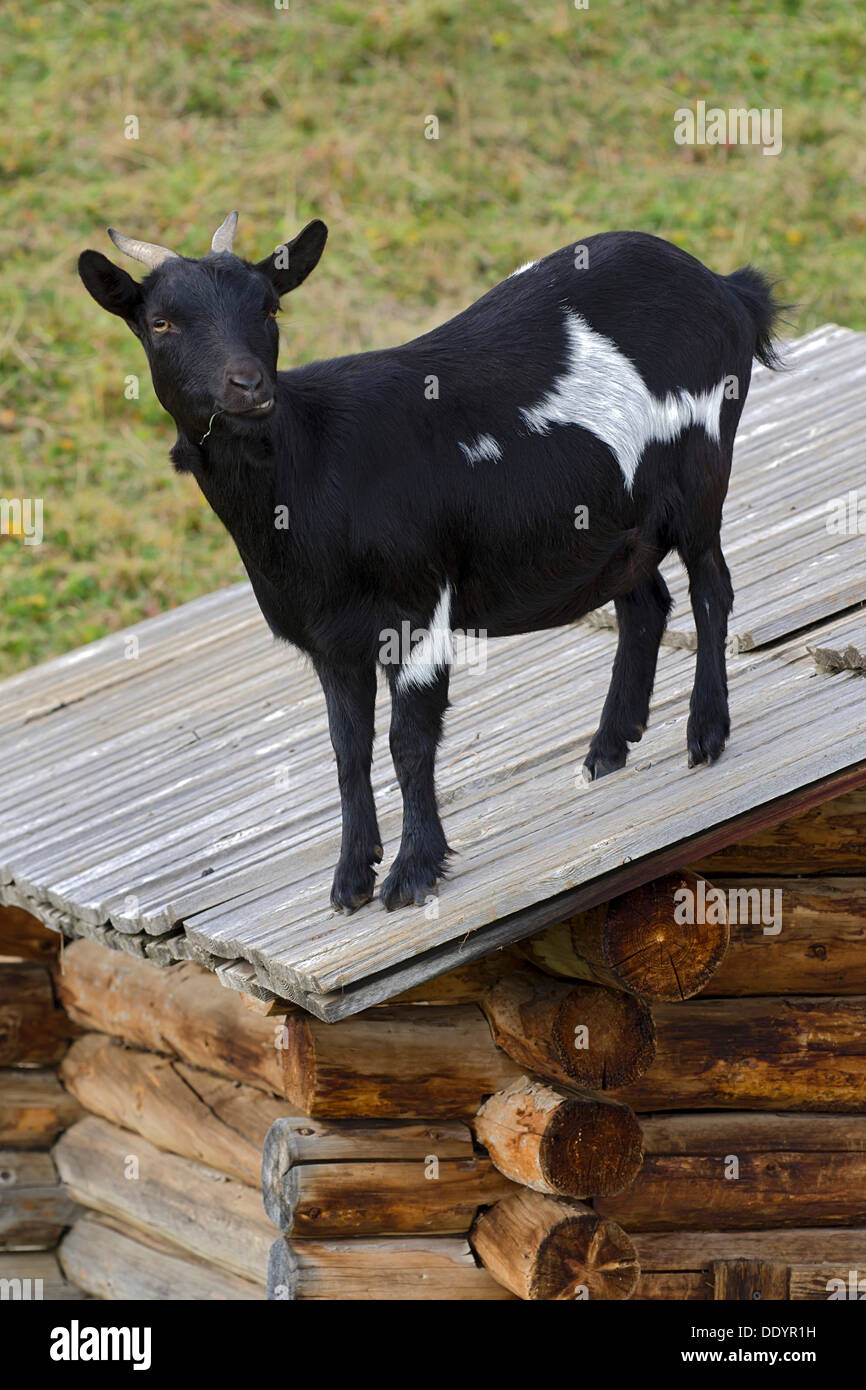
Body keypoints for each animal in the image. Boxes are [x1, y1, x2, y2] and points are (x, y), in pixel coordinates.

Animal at [79, 214, 781, 911]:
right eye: (161, 322)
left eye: (269, 307)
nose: (248, 385)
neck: (309, 469)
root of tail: (727, 288)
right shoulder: (329, 641)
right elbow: (347, 750)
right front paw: (351, 879)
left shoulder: (415, 610)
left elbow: (407, 741)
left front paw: (413, 872)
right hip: (614, 526)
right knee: (645, 602)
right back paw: (609, 746)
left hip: (699, 472)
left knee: (712, 588)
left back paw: (705, 733)